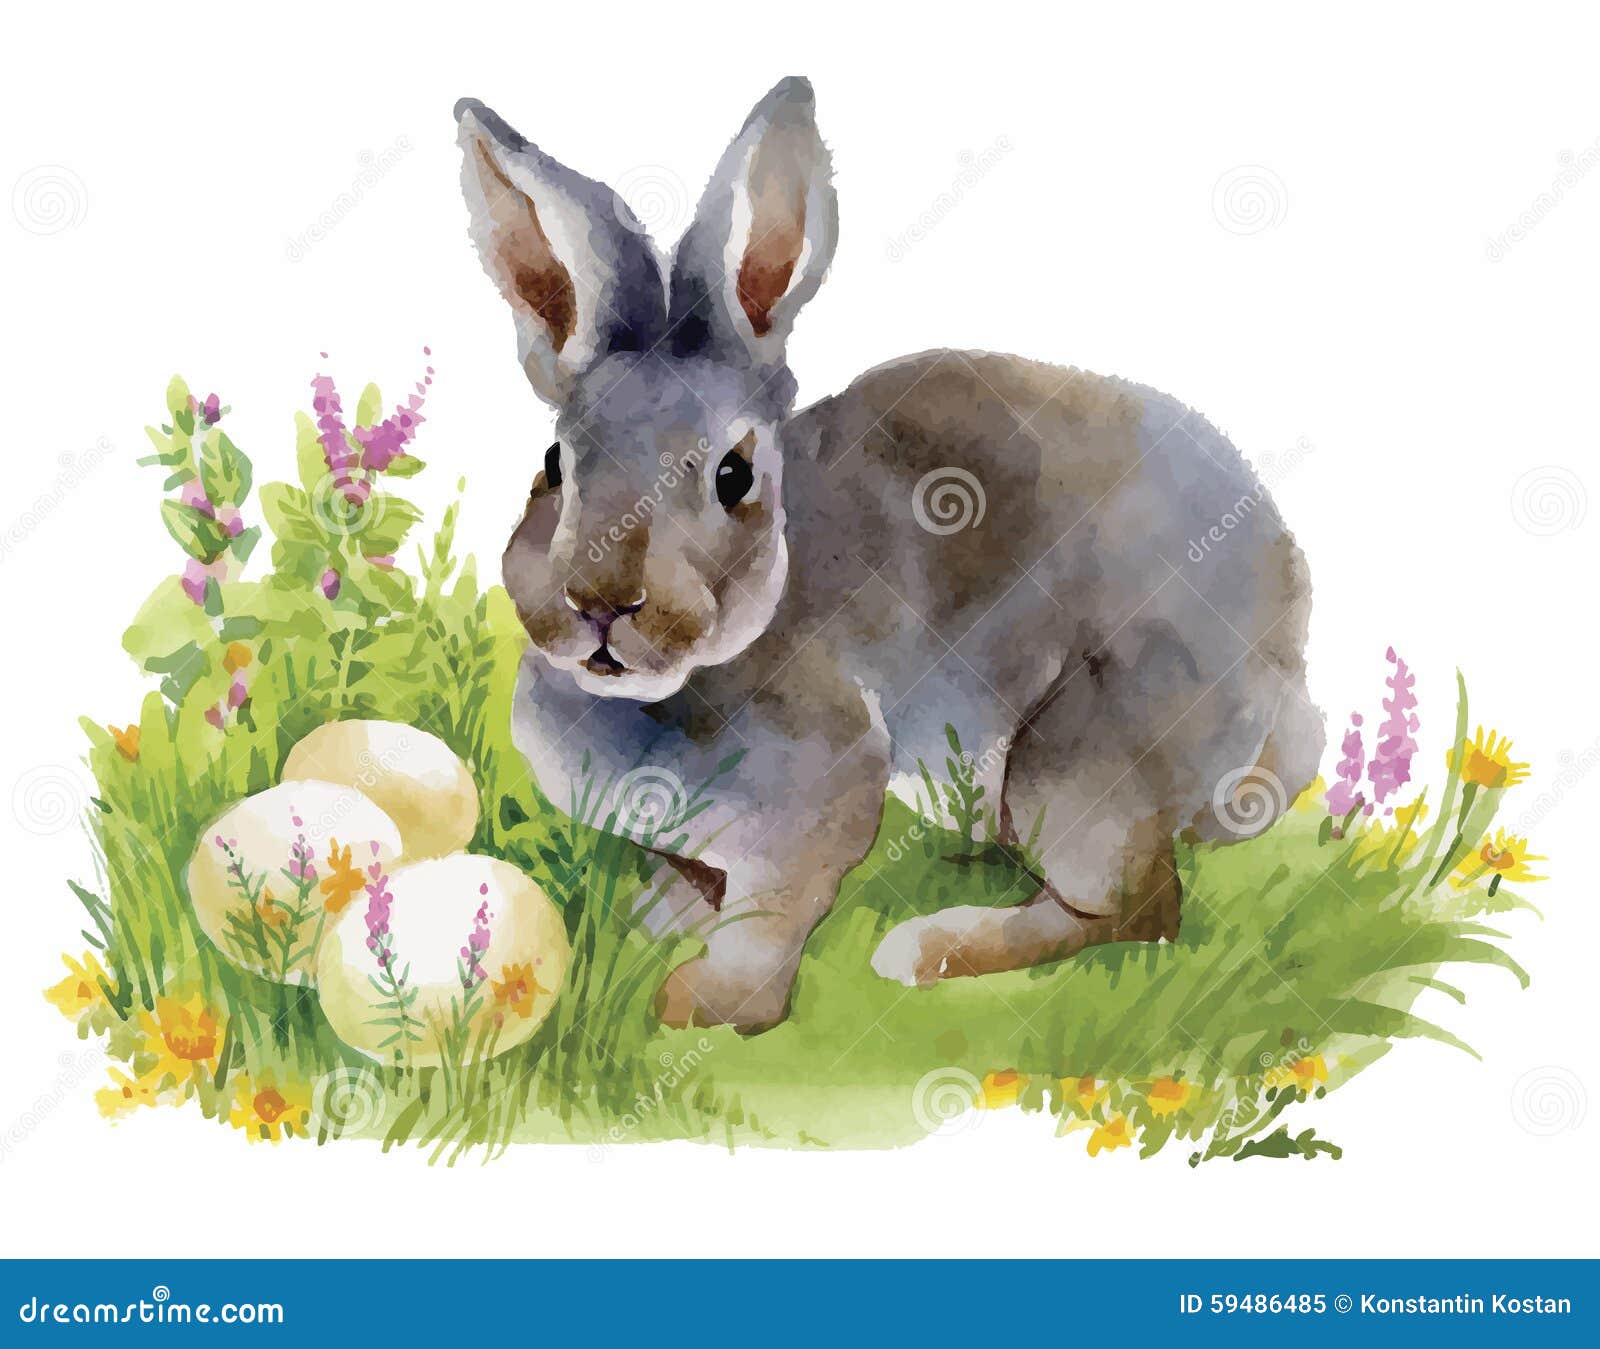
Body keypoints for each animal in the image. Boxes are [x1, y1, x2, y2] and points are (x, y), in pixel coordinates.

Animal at [455, 76, 1324, 1032]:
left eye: (732, 473)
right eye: (553, 464)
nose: (602, 602)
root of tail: (1286, 668)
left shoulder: (818, 801)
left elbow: (769, 920)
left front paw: (704, 1002)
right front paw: (651, 914)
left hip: (1077, 763)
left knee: (1141, 906)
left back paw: (929, 946)